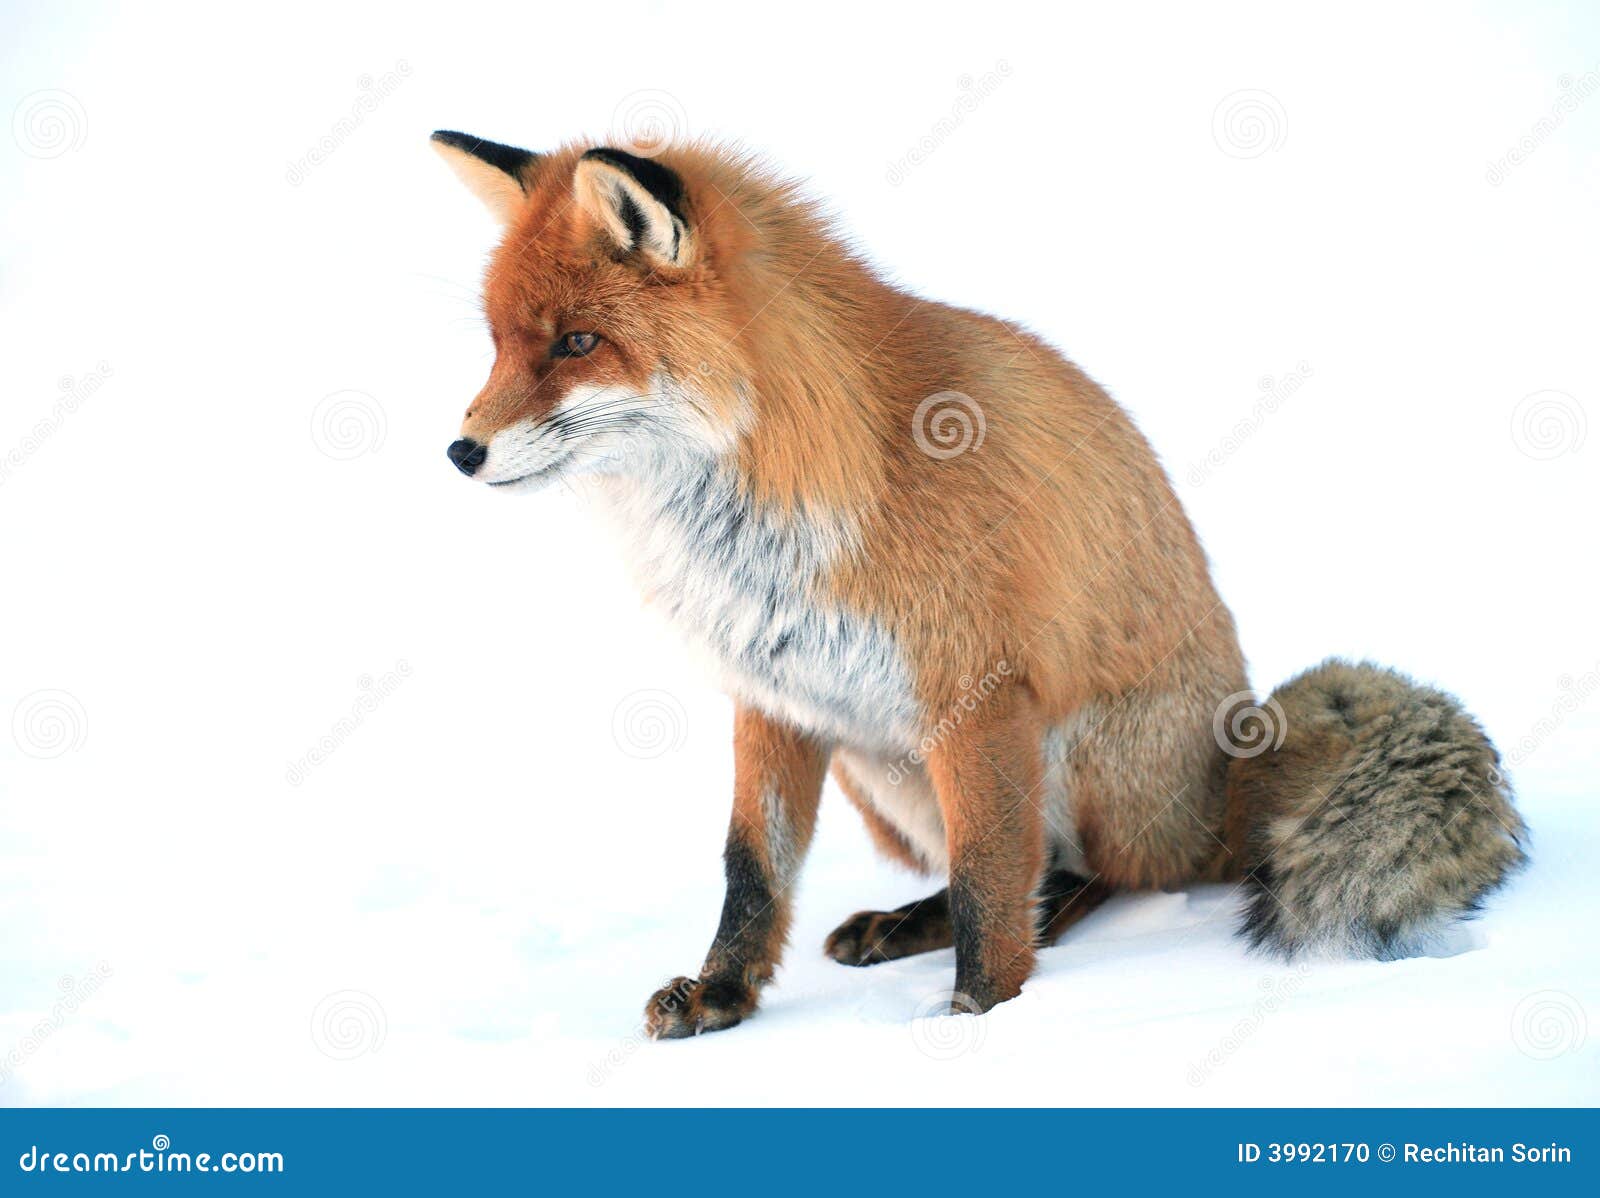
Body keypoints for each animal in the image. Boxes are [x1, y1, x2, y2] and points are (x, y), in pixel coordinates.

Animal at [429, 130, 1527, 1037]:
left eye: (577, 343)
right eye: (499, 343)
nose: (461, 452)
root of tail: (1233, 765)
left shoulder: (980, 694)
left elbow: (991, 879)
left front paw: (979, 1019)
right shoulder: (772, 697)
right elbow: (754, 871)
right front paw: (724, 995)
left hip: (1076, 754)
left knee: (1093, 871)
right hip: (876, 768)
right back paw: (898, 922)